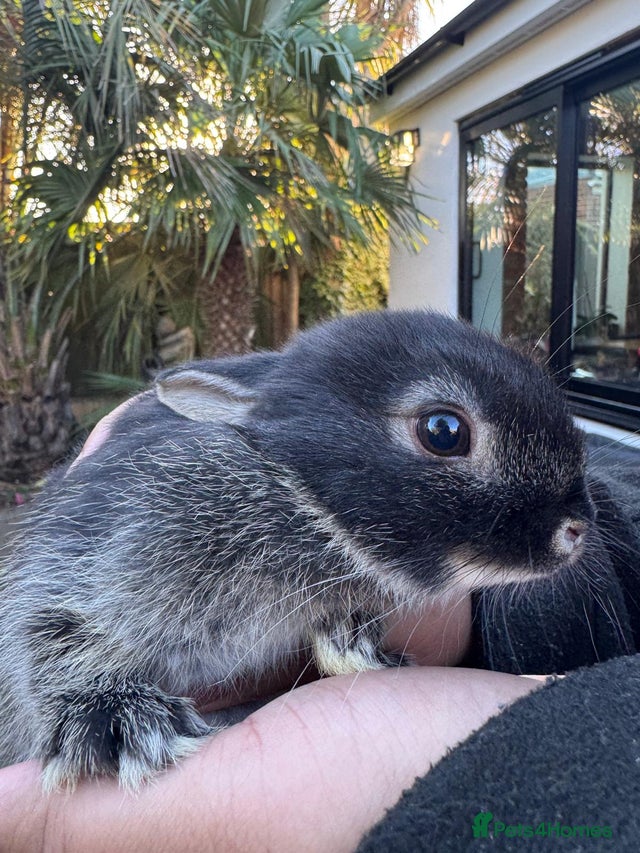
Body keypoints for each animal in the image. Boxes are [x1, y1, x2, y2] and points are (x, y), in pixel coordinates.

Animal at [0, 310, 594, 791]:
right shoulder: (94, 551)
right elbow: (50, 629)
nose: (577, 528)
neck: (297, 496)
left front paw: (357, 649)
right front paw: (116, 723)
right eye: (444, 431)